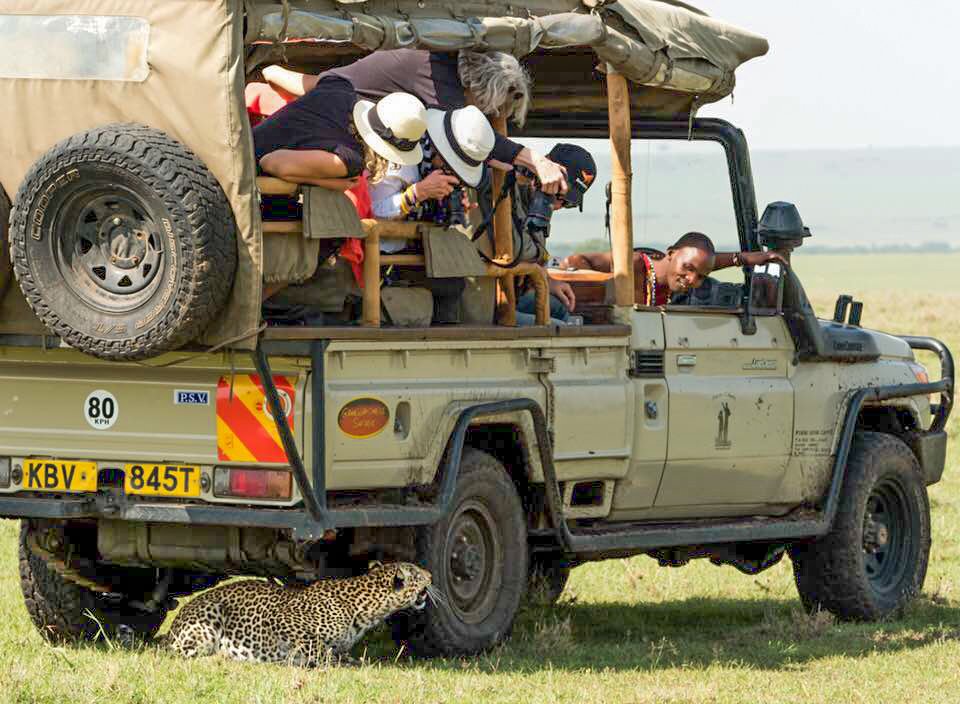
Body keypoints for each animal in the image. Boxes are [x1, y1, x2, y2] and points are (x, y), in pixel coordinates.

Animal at [165, 562, 433, 666]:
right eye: (417, 573)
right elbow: (318, 646)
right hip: (207, 622)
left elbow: (340, 652)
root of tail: (172, 627)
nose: (430, 575)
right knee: (185, 654)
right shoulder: (281, 620)